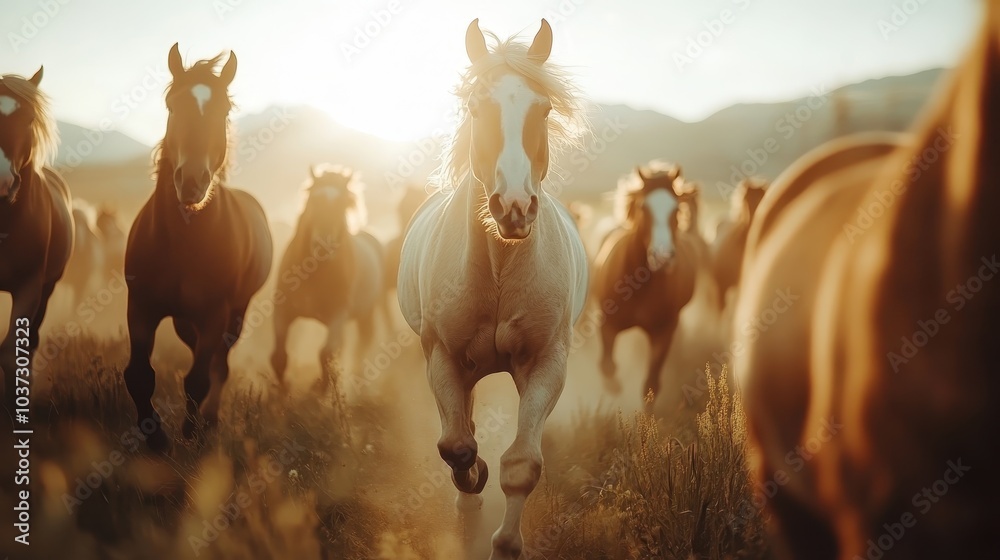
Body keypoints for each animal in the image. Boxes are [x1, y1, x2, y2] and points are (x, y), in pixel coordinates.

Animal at [122, 44, 272, 451]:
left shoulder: (215, 314)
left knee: (220, 366)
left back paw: (209, 420)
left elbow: (200, 378)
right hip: (183, 320)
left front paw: (190, 434)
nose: (191, 181)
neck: (181, 241)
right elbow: (139, 374)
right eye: (172, 106)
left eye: (223, 111)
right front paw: (155, 438)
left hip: (234, 314)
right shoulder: (141, 306)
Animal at [270, 165, 384, 385]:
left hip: (365, 314)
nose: (324, 246)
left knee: (361, 346)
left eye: (343, 205)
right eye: (314, 200)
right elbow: (279, 357)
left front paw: (320, 389)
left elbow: (326, 355)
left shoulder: (337, 316)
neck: (314, 272)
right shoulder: (282, 311)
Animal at [397, 19, 588, 559]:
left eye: (543, 109)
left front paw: (505, 542)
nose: (515, 207)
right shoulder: (442, 356)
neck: (502, 267)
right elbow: (456, 446)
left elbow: (522, 464)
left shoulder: (546, 363)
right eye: (476, 108)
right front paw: (474, 484)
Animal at [593, 162, 698, 404]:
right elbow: (607, 367)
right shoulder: (607, 323)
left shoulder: (664, 332)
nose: (663, 257)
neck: (640, 285)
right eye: (644, 208)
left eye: (676, 209)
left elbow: (651, 385)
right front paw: (614, 389)